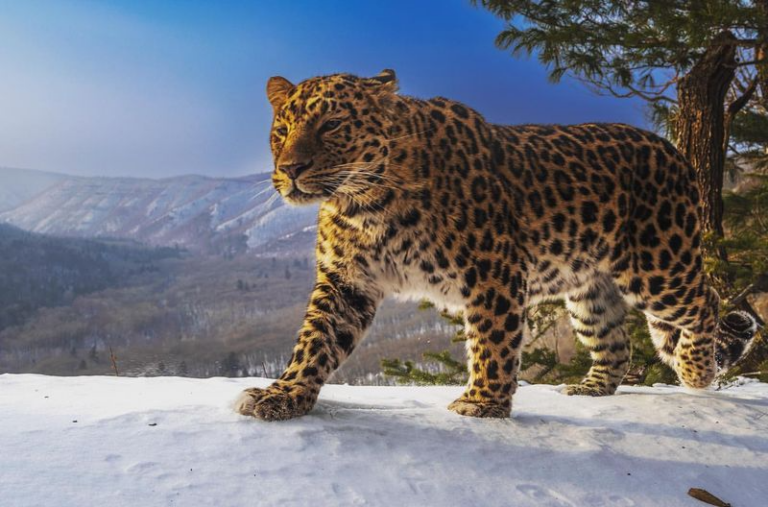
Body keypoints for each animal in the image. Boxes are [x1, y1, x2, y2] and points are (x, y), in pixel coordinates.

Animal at [235, 69, 759, 420]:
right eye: (281, 131)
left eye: (331, 126)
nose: (291, 169)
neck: (364, 202)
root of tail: (672, 150)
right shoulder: (348, 281)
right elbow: (315, 340)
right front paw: (283, 394)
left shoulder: (493, 268)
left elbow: (492, 339)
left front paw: (482, 402)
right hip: (590, 289)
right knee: (615, 341)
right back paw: (592, 388)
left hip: (659, 264)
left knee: (706, 301)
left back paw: (696, 370)